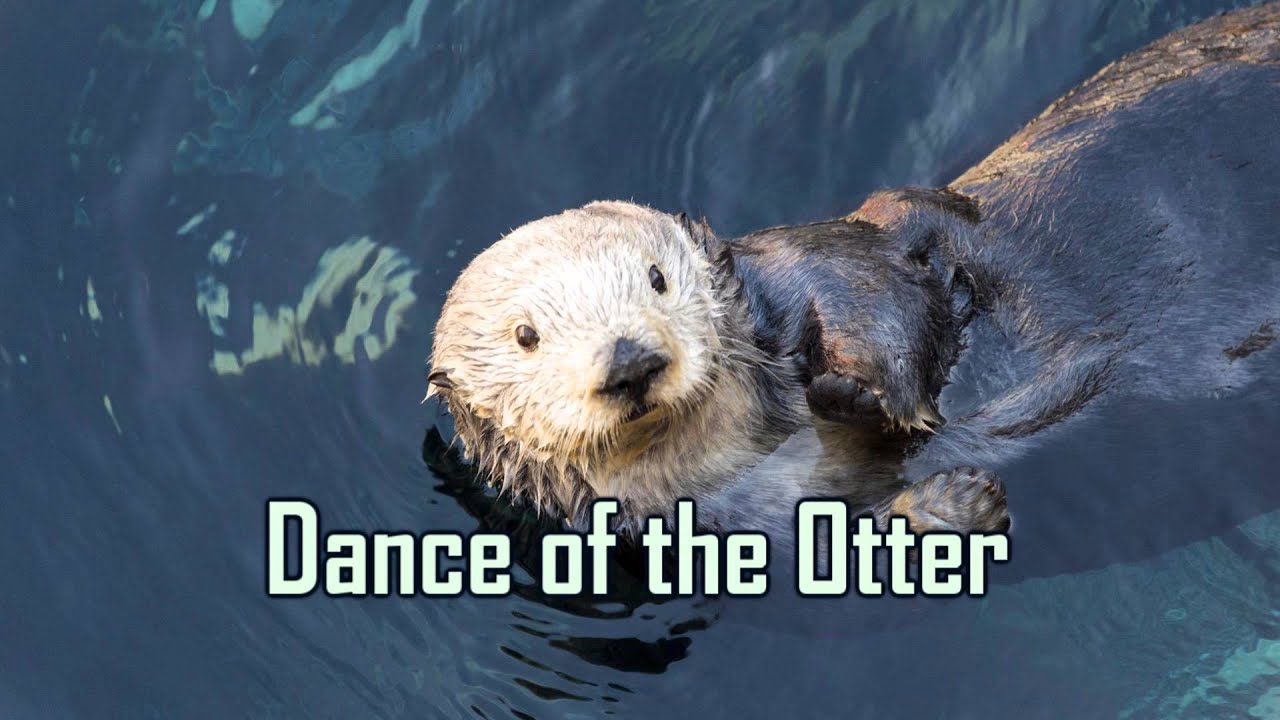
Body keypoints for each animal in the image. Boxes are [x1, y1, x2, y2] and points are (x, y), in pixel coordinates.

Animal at [427, 3, 1280, 538]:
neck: (750, 446)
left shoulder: (807, 261)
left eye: (657, 278)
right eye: (526, 335)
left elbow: (872, 291)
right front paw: (957, 501)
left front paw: (864, 392)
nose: (631, 361)